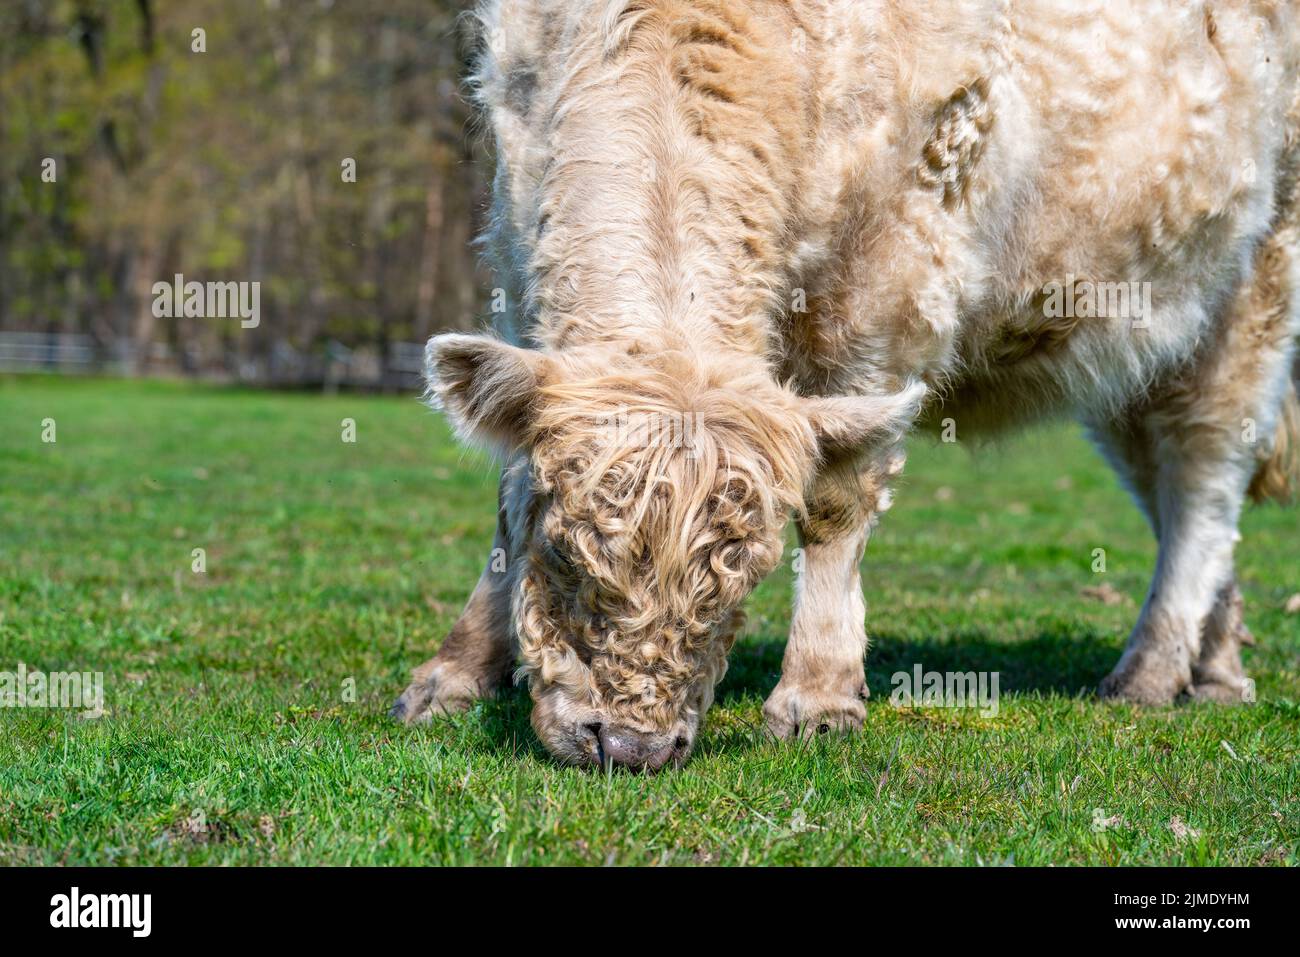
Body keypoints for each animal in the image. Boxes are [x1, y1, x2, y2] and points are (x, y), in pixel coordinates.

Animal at [392, 0, 1300, 770]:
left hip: (1253, 291)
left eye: (745, 572)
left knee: (1205, 487)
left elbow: (838, 497)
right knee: (1173, 489)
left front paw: (818, 693)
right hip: (1142, 349)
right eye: (563, 551)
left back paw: (1150, 670)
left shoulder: (885, 286)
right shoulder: (518, 260)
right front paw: (454, 673)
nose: (631, 746)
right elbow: (509, 486)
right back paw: (1216, 667)